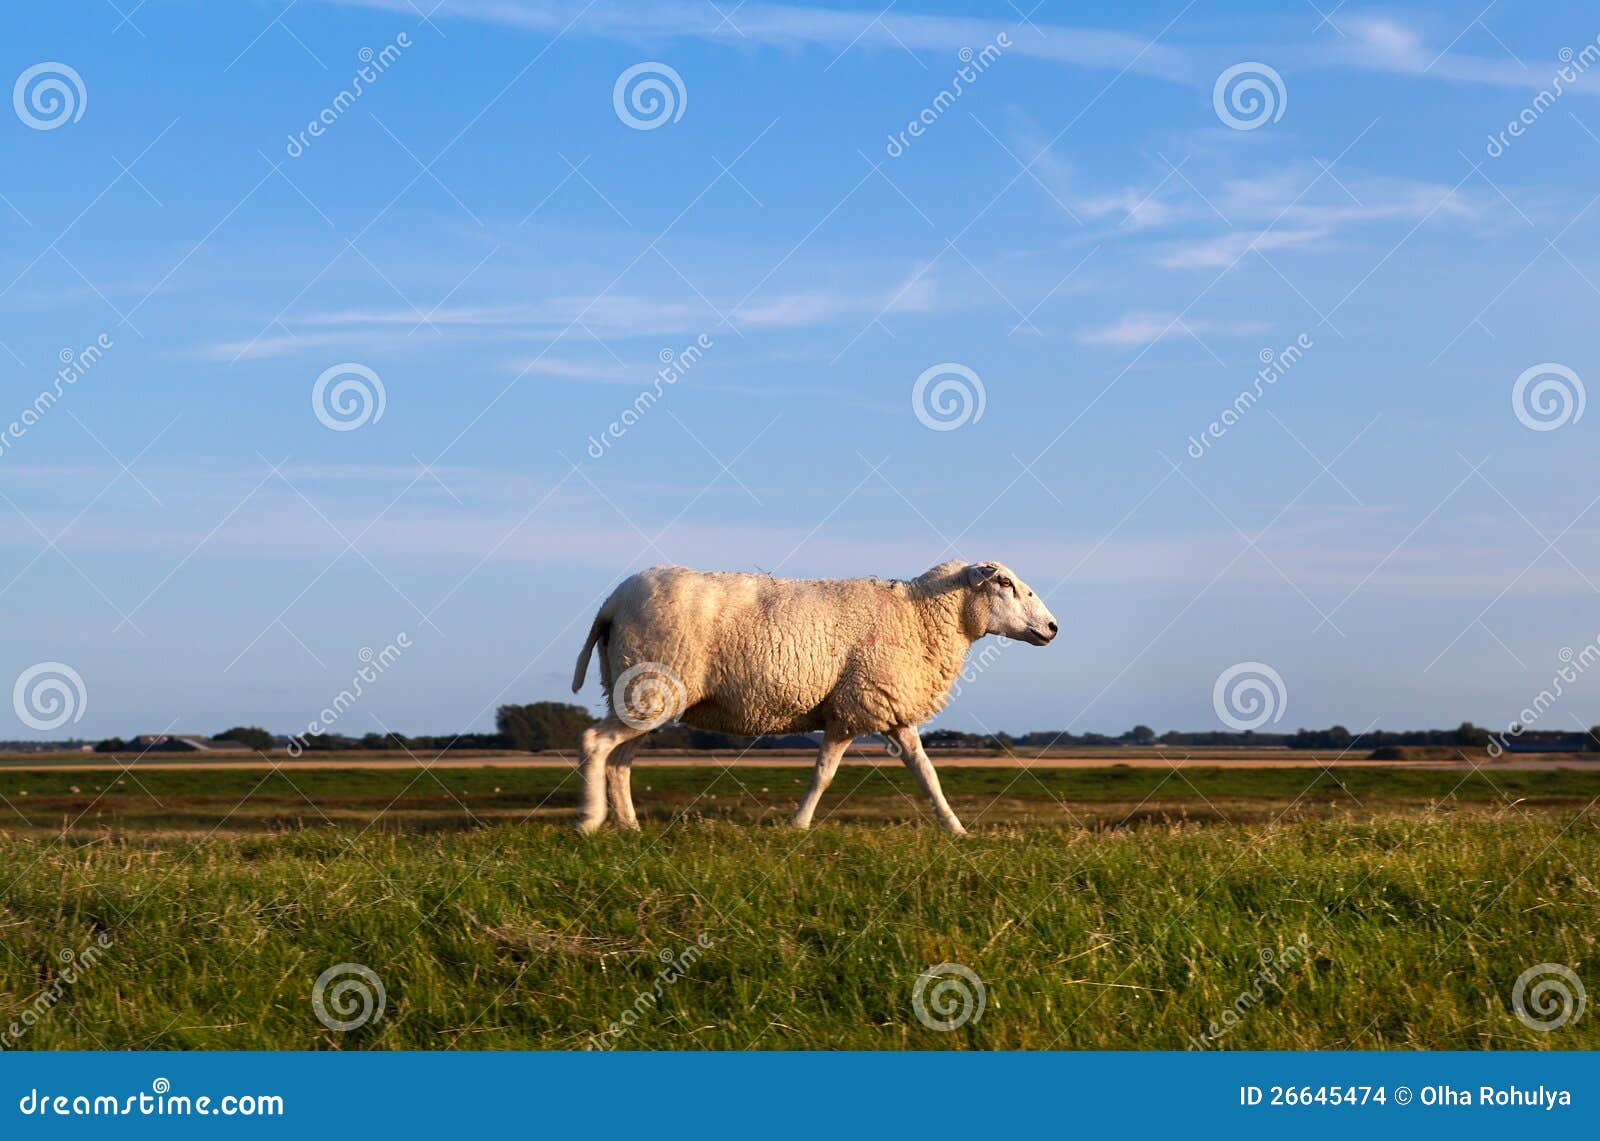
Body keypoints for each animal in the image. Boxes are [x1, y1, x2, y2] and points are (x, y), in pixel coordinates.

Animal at [570, 559, 1058, 834]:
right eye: (1005, 584)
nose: (1053, 627)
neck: (919, 616)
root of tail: (612, 602)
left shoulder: (894, 710)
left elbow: (927, 775)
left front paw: (956, 830)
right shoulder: (850, 708)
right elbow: (823, 775)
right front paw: (798, 826)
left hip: (644, 694)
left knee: (619, 760)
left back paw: (630, 826)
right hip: (653, 686)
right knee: (595, 744)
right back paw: (591, 822)